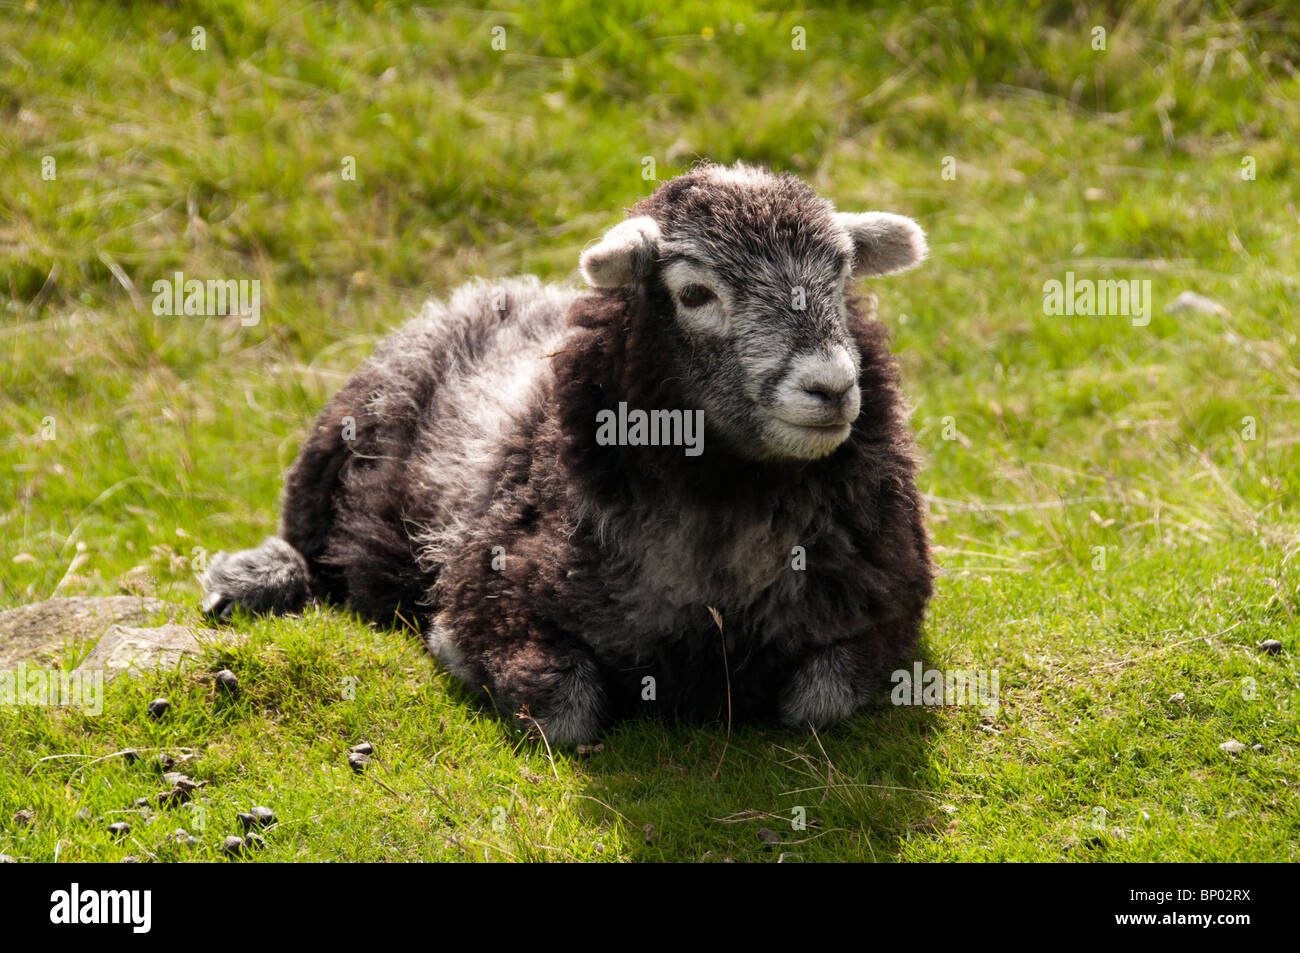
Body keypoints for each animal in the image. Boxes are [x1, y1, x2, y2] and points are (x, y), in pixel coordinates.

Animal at [202, 161, 934, 744]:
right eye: (695, 293)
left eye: (840, 278)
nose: (831, 386)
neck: (727, 500)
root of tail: (512, 286)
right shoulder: (492, 590)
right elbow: (565, 709)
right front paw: (449, 650)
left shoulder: (889, 615)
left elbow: (820, 699)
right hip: (343, 429)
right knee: (304, 535)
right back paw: (248, 578)